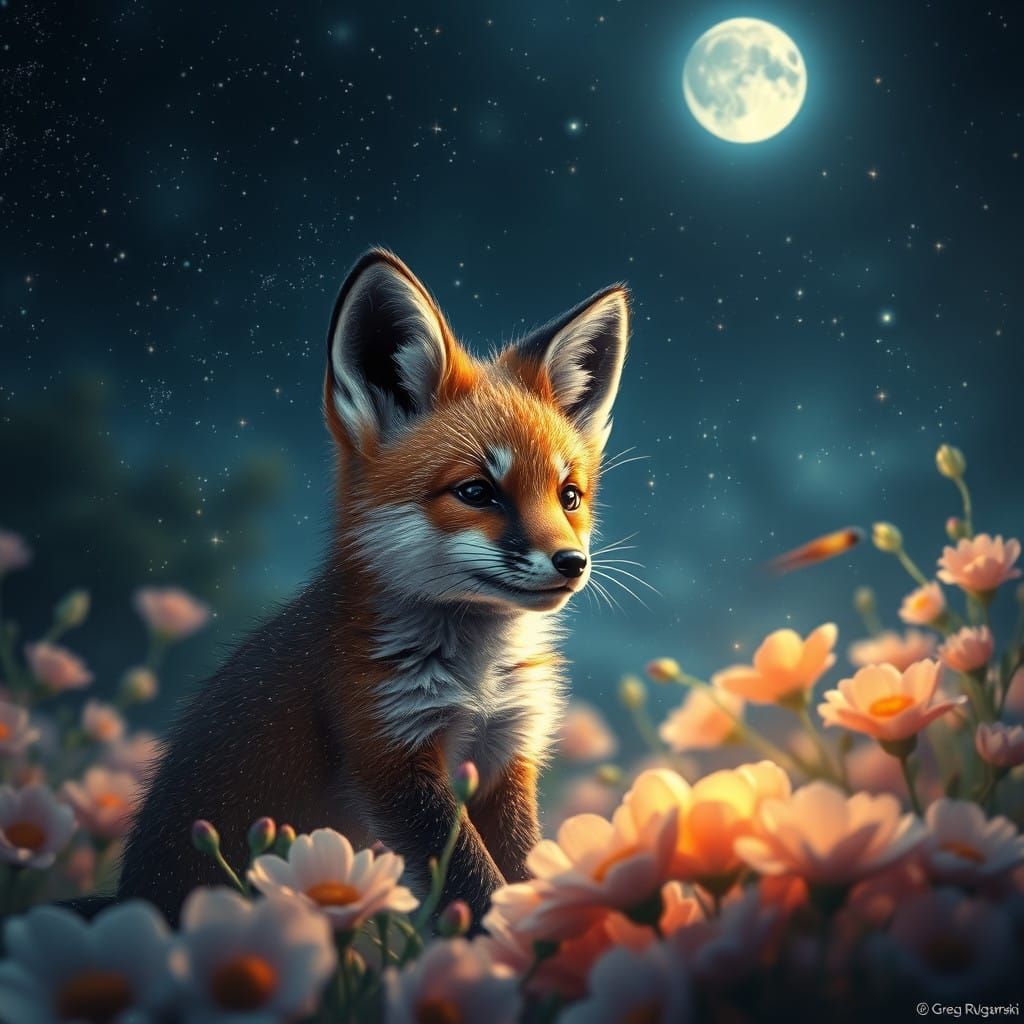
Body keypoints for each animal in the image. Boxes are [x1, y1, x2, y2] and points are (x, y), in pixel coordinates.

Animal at [116, 248, 630, 926]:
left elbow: (523, 869)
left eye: (569, 496)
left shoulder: (507, 756)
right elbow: (476, 888)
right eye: (476, 491)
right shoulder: (390, 754)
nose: (572, 562)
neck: (478, 681)